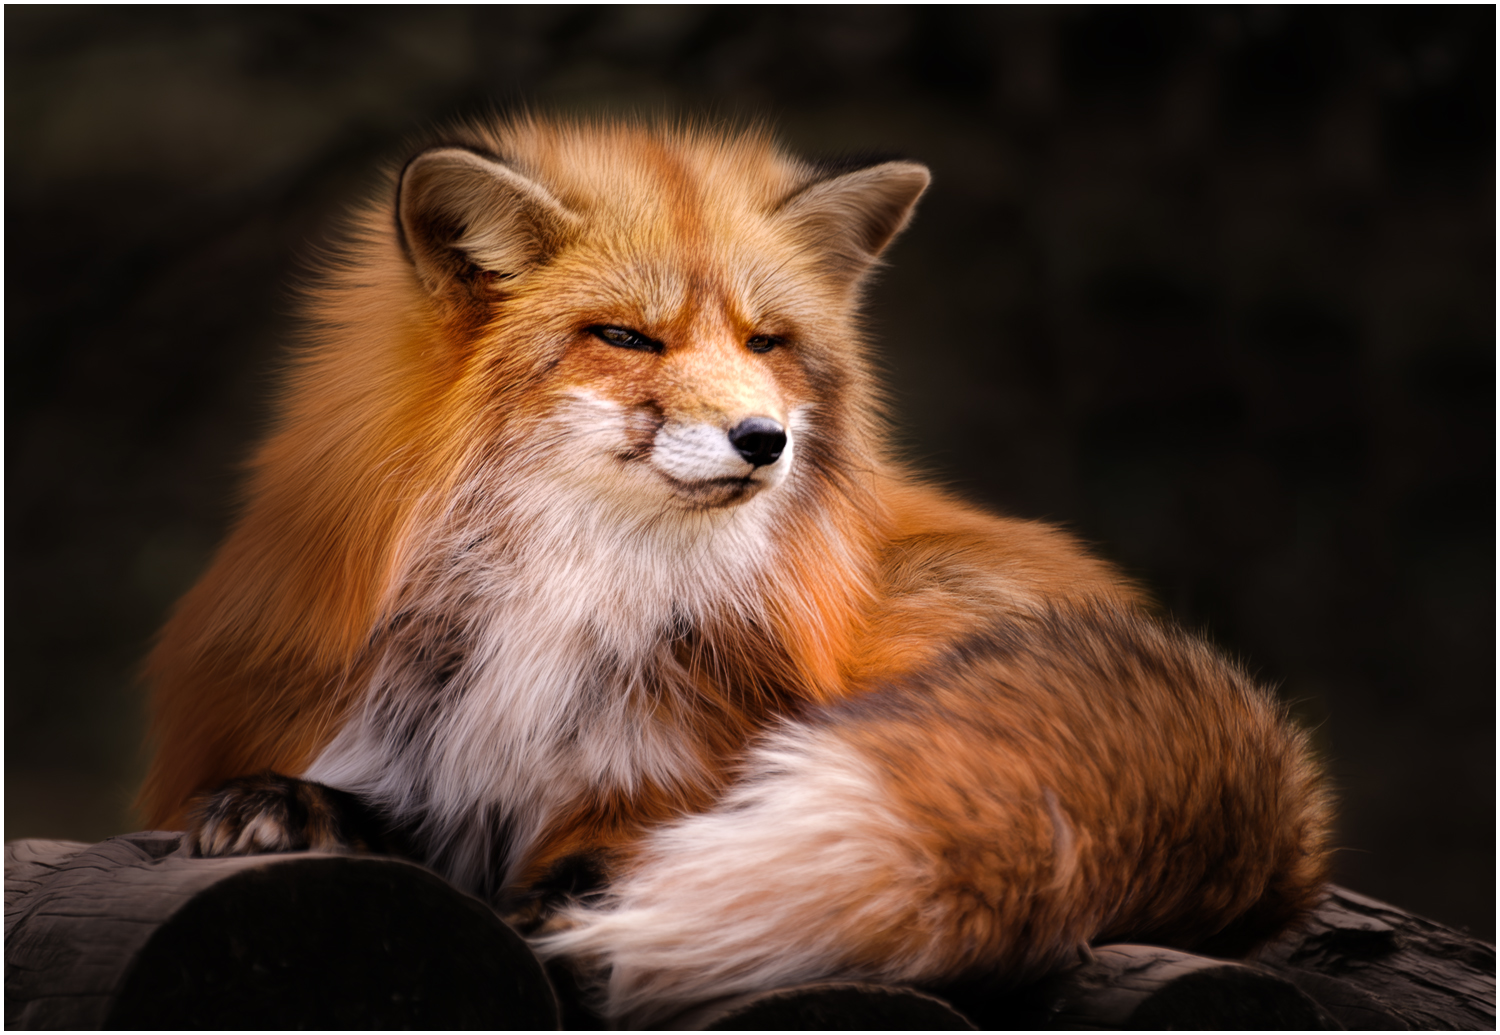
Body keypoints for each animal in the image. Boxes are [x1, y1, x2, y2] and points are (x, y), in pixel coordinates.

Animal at [137, 115, 1332, 1024]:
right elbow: (379, 811)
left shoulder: (680, 764)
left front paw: (583, 901)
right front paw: (284, 806)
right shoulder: (399, 737)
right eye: (626, 337)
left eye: (766, 343)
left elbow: (629, 843)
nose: (765, 440)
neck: (564, 605)